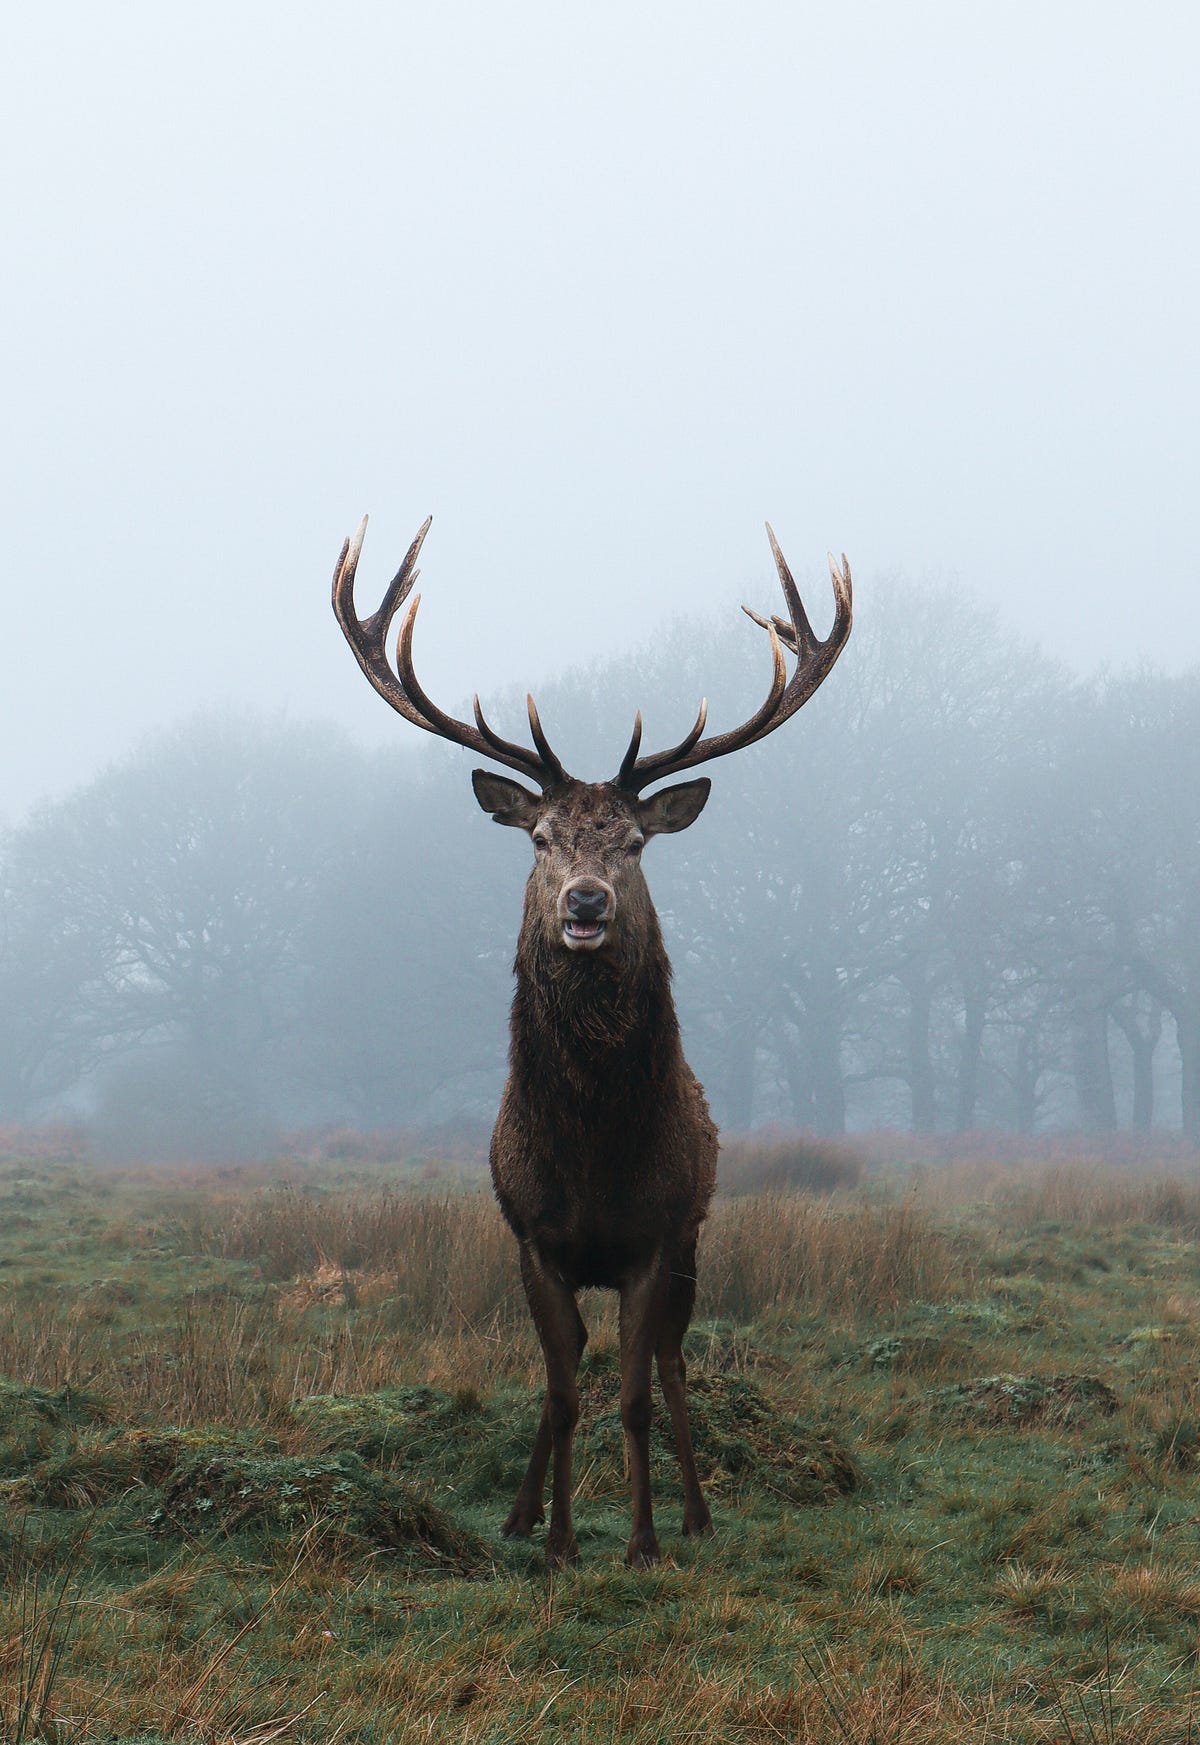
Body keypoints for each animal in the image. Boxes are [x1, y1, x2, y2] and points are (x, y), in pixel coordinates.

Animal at [332, 514, 852, 1568]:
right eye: (540, 839)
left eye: (635, 844)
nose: (585, 903)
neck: (595, 1154)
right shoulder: (534, 1237)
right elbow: (566, 1390)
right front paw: (560, 1541)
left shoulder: (657, 1235)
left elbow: (637, 1395)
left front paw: (644, 1538)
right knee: (564, 1367)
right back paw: (522, 1512)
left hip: (695, 1242)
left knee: (674, 1361)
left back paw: (694, 1513)